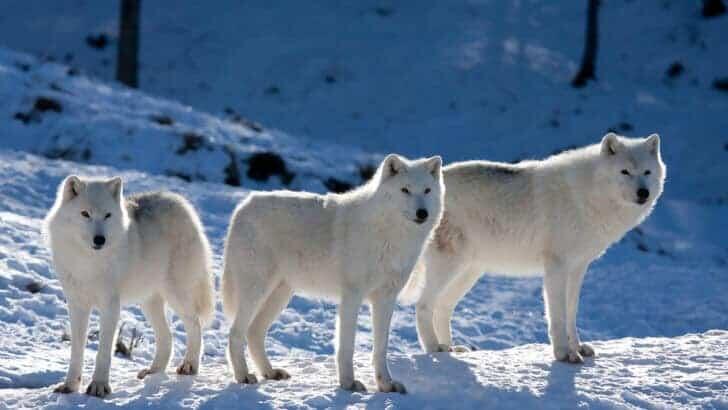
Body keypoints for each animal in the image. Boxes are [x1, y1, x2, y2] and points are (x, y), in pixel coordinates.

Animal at [44, 176, 214, 397]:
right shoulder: (77, 304)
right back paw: (153, 372)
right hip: (149, 303)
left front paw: (99, 386)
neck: (88, 262)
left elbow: (104, 351)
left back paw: (189, 366)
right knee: (167, 337)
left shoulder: (110, 305)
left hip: (177, 295)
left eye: (107, 215)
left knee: (195, 325)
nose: (100, 239)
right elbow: (76, 350)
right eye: (85, 214)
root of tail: (179, 201)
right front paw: (70, 386)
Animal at [222, 154, 444, 393]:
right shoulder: (352, 297)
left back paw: (270, 373)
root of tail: (241, 207)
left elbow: (380, 348)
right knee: (235, 333)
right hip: (257, 291)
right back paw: (243, 376)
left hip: (280, 295)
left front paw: (385, 384)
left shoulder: (386, 299)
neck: (389, 236)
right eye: (405, 190)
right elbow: (346, 346)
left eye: (427, 190)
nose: (422, 213)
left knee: (253, 332)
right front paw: (348, 383)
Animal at [403, 133, 666, 363]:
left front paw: (577, 347)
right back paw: (434, 348)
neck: (588, 196)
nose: (643, 192)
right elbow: (557, 317)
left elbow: (571, 313)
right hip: (450, 267)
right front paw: (564, 354)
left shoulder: (578, 268)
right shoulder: (556, 267)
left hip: (469, 273)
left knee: (443, 307)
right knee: (423, 305)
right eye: (625, 171)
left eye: (647, 172)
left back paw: (450, 348)